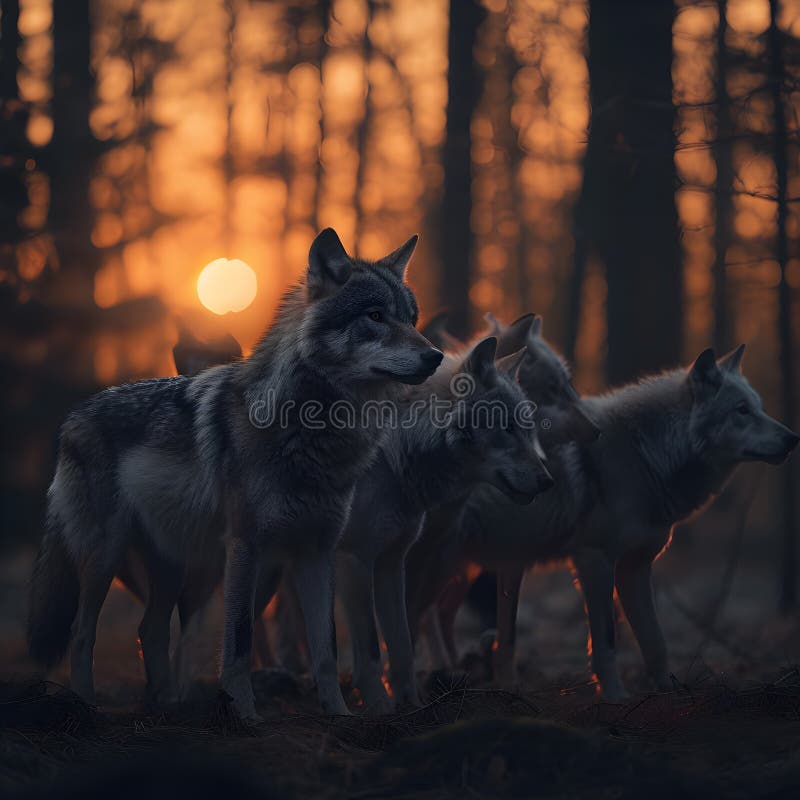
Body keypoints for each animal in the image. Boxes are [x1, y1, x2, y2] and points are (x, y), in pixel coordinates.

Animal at [28, 228, 443, 720]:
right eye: (376, 316)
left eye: (412, 319)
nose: (436, 356)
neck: (312, 430)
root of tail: (74, 416)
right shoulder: (246, 545)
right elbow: (241, 640)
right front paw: (244, 713)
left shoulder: (318, 551)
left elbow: (326, 648)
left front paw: (339, 714)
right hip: (104, 556)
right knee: (81, 631)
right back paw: (86, 706)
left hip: (172, 560)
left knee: (150, 629)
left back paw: (167, 706)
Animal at [336, 330, 554, 712]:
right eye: (507, 428)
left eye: (528, 430)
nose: (547, 481)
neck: (395, 451)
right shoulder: (355, 560)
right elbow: (372, 652)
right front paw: (377, 707)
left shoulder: (393, 560)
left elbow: (403, 645)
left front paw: (411, 706)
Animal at [409, 343, 799, 699]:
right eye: (742, 410)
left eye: (760, 408)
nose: (792, 438)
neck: (643, 457)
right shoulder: (594, 561)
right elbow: (607, 641)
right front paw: (614, 697)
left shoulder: (635, 567)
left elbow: (656, 641)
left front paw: (667, 693)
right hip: (441, 565)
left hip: (463, 570)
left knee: (437, 616)